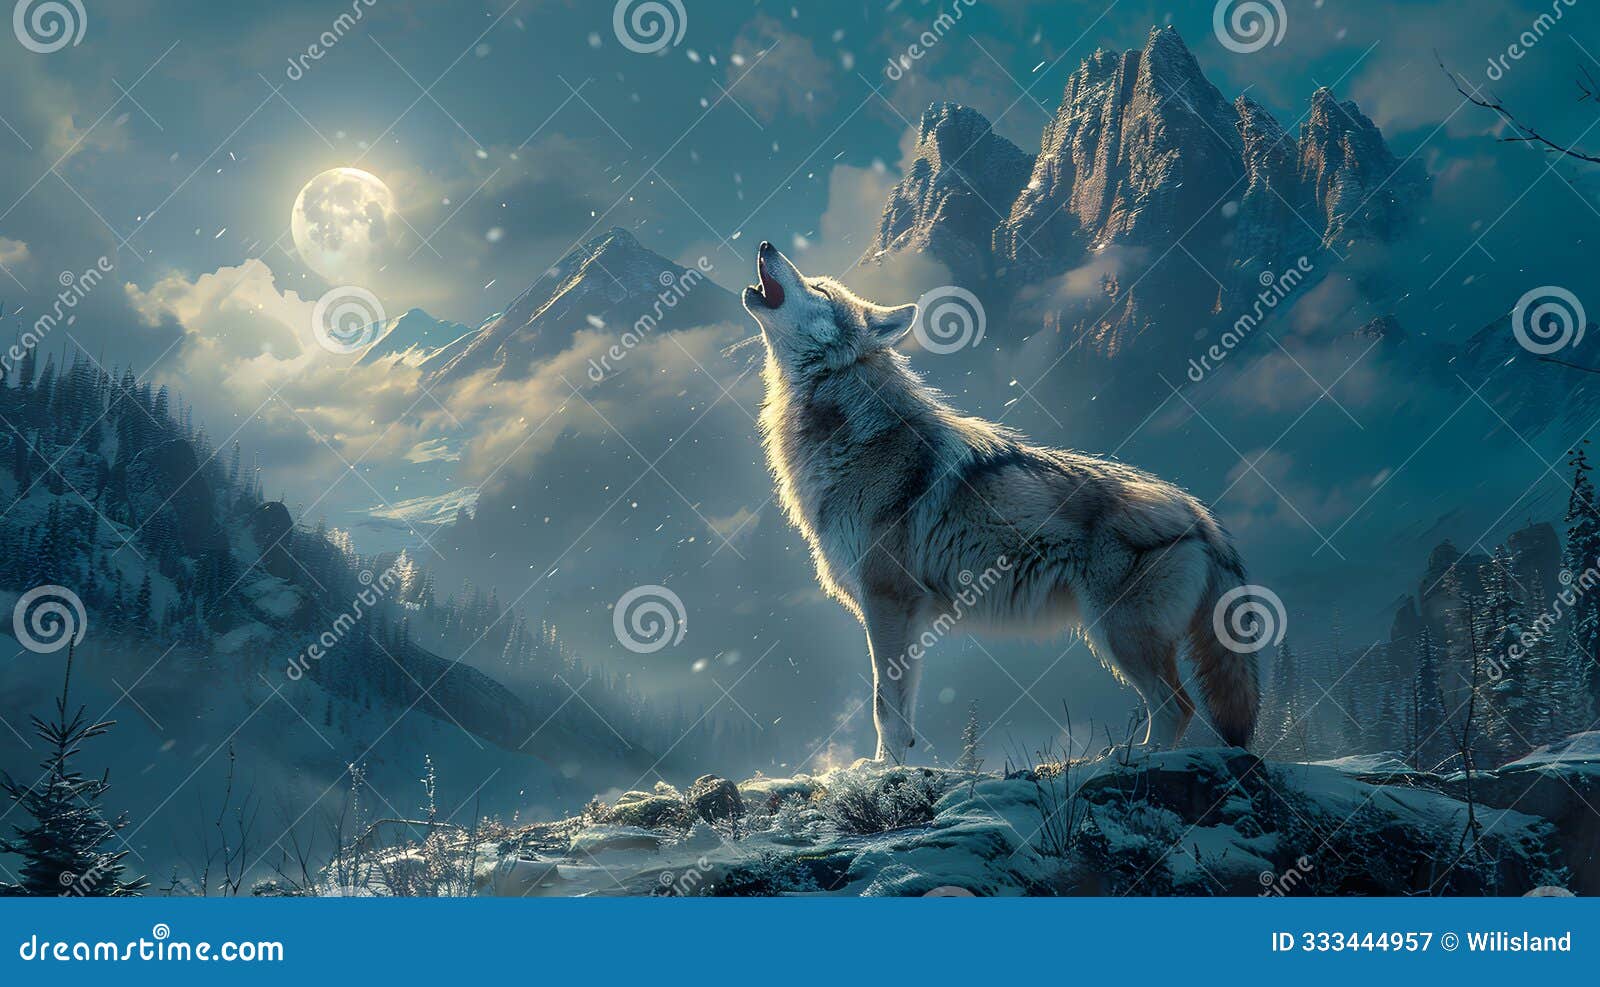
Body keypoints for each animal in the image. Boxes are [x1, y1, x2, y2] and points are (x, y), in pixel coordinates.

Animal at [742, 242, 1259, 763]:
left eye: (820, 287)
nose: (766, 244)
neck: (854, 429)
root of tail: (1200, 513)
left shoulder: (887, 598)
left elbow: (882, 707)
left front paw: (880, 768)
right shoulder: (905, 614)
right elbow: (901, 711)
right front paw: (896, 762)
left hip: (1118, 636)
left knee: (1178, 707)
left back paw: (1130, 760)